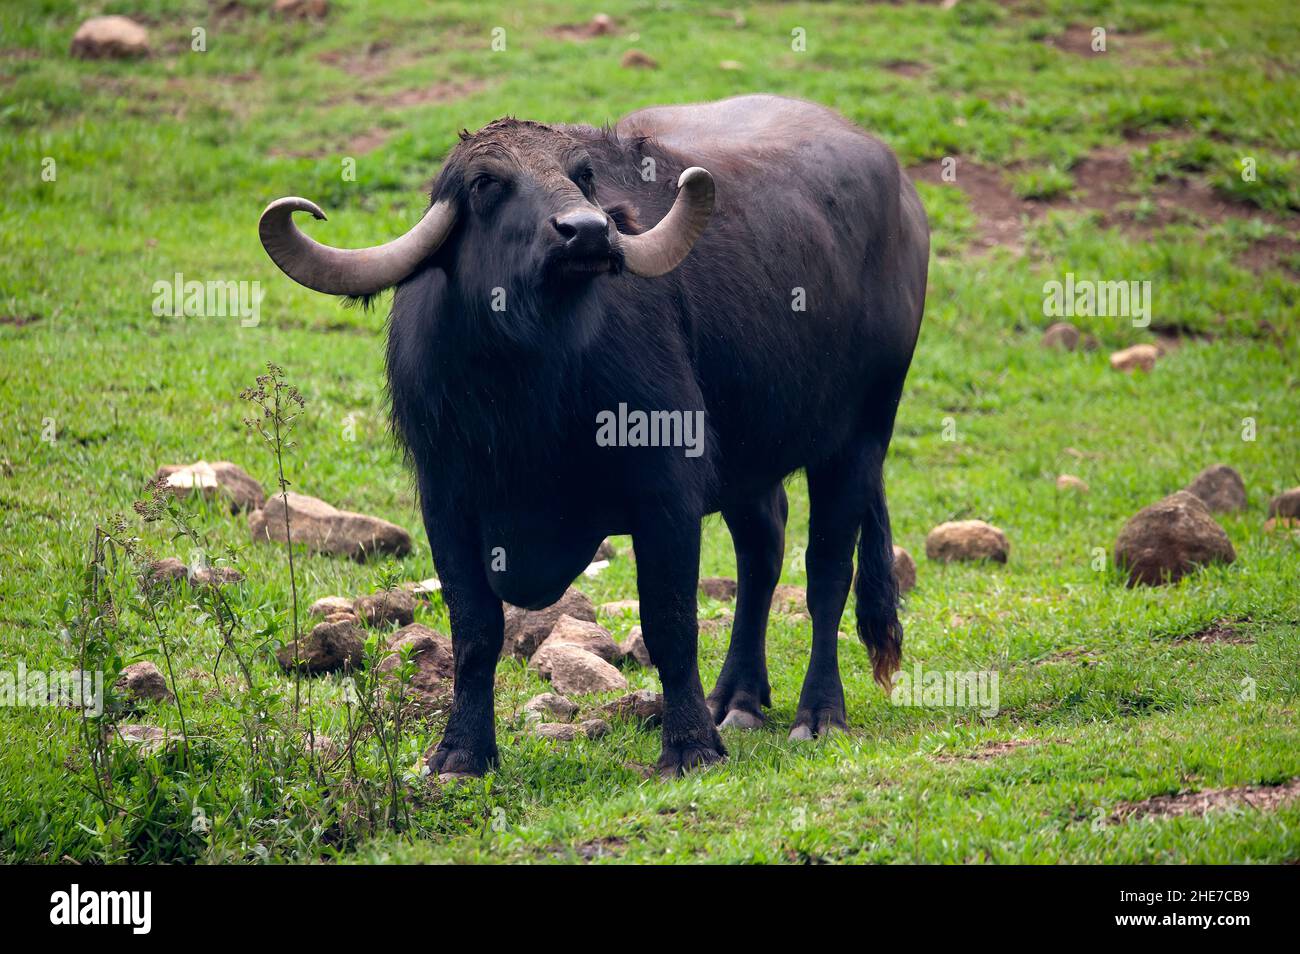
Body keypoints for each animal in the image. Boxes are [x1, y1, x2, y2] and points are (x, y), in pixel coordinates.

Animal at [259, 94, 929, 777]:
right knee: (762, 554)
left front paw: (689, 747)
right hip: (754, 463)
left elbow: (669, 621)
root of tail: (900, 192)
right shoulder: (445, 498)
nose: (586, 231)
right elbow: (474, 627)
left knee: (826, 573)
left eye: (581, 175)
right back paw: (736, 701)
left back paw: (817, 714)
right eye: (485, 183)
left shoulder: (668, 486)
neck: (526, 395)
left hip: (860, 436)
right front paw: (462, 752)